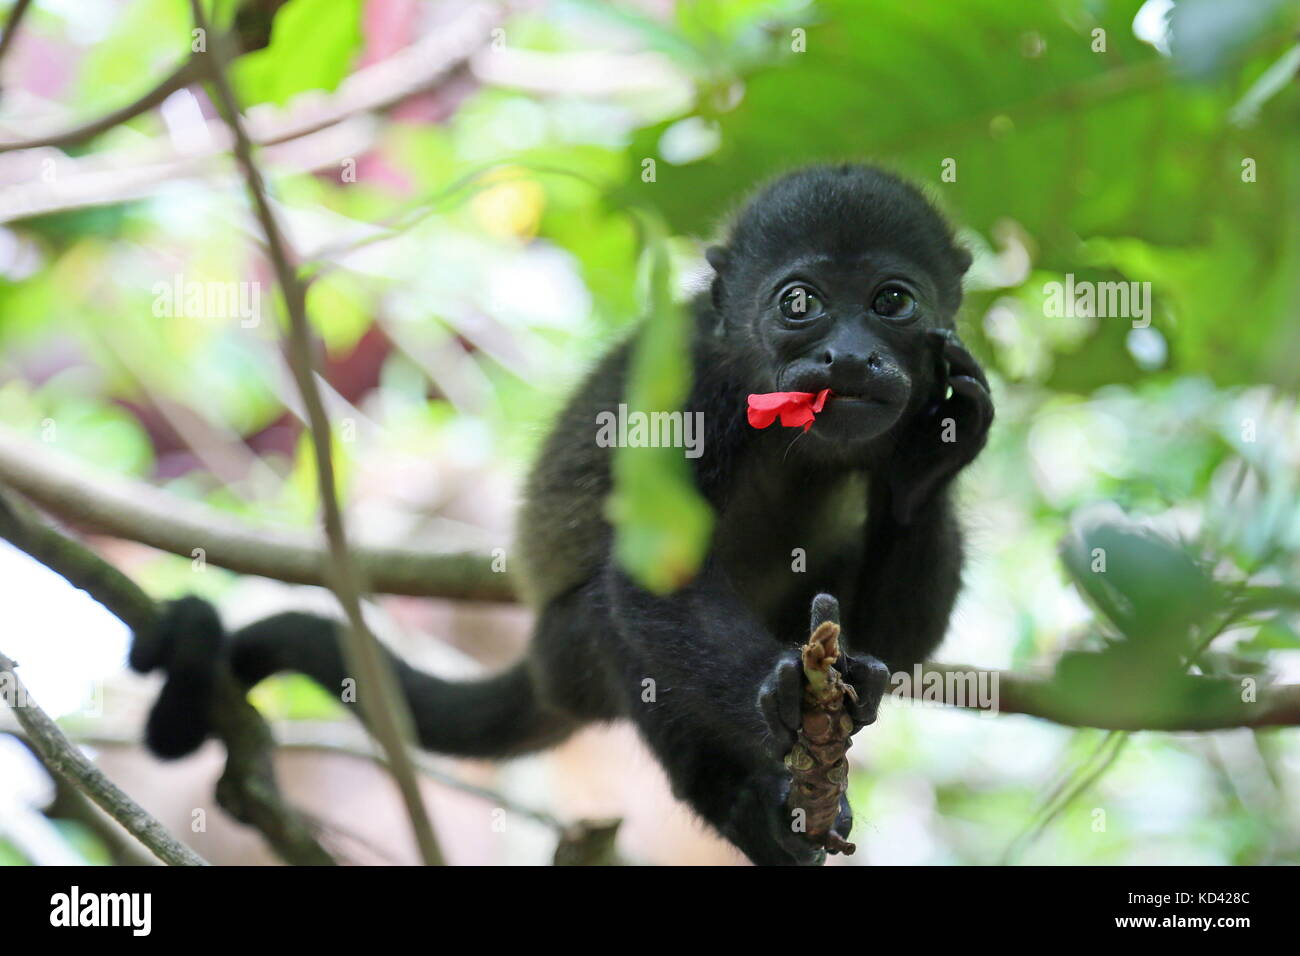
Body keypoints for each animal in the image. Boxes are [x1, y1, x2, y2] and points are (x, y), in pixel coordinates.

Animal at [130, 163, 993, 866]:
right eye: (801, 303)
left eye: (891, 301)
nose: (847, 355)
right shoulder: (691, 387)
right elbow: (648, 579)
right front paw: (778, 689)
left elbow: (900, 645)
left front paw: (932, 459)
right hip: (571, 655)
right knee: (614, 629)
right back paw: (746, 809)